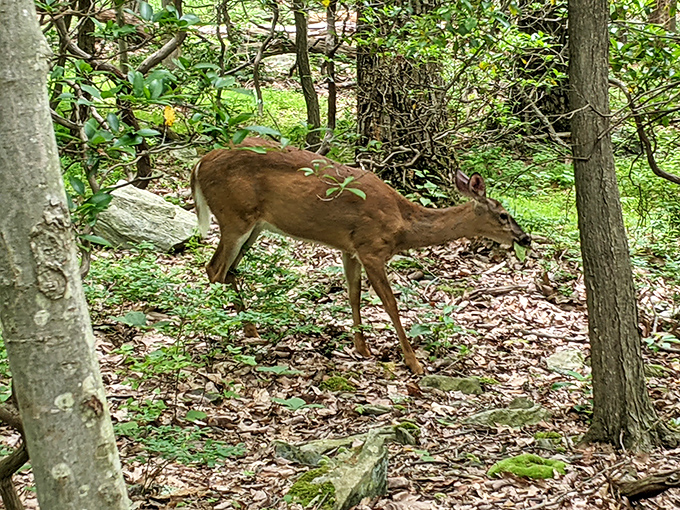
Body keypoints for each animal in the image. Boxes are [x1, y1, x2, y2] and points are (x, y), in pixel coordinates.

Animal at [191, 138, 531, 375]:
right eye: (503, 215)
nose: (524, 237)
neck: (402, 224)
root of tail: (199, 163)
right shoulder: (371, 248)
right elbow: (390, 304)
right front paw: (414, 363)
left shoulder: (349, 248)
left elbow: (353, 295)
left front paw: (362, 348)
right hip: (235, 215)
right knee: (215, 268)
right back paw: (221, 327)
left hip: (256, 225)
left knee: (229, 270)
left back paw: (250, 328)